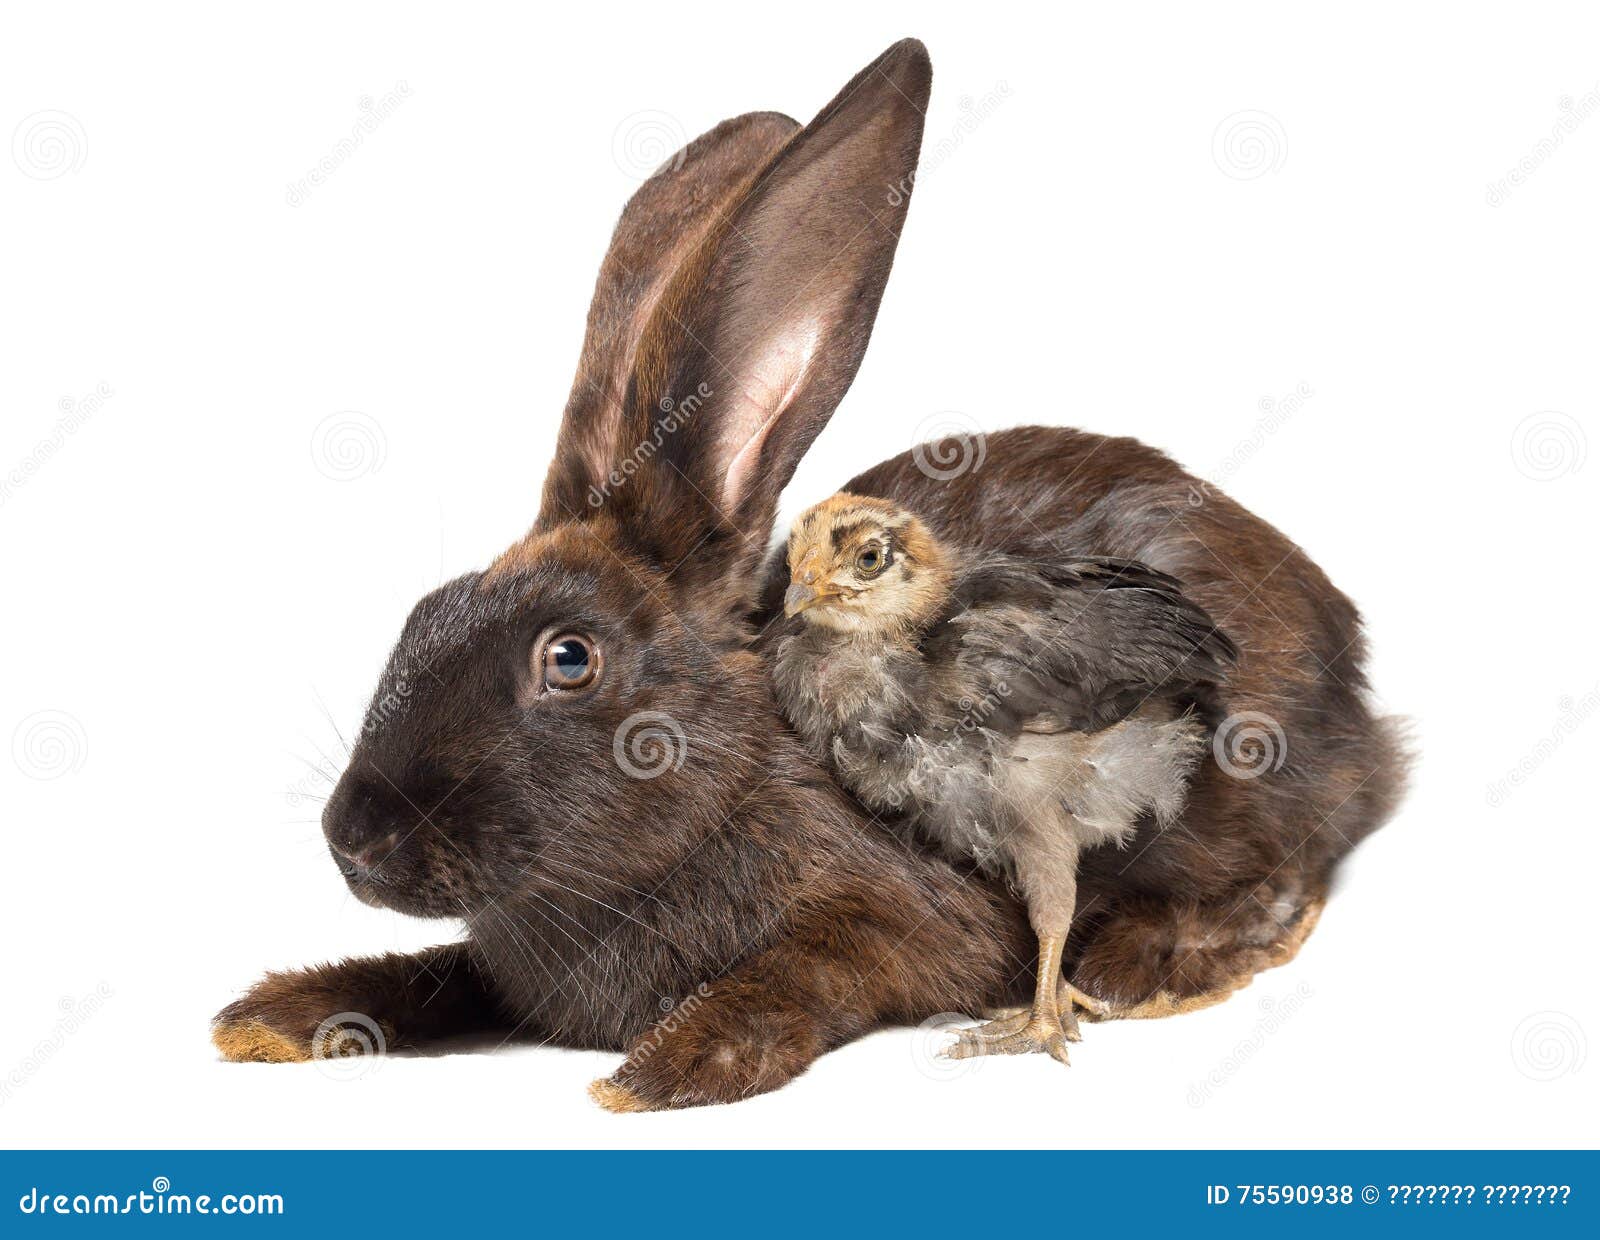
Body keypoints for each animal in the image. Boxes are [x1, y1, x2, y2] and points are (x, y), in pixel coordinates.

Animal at [212, 39, 1406, 1112]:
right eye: (421, 613)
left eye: (570, 658)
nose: (356, 843)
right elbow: (430, 978)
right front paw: (275, 1019)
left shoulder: (905, 913)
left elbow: (812, 968)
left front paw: (668, 1066)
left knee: (1298, 859)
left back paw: (1148, 962)